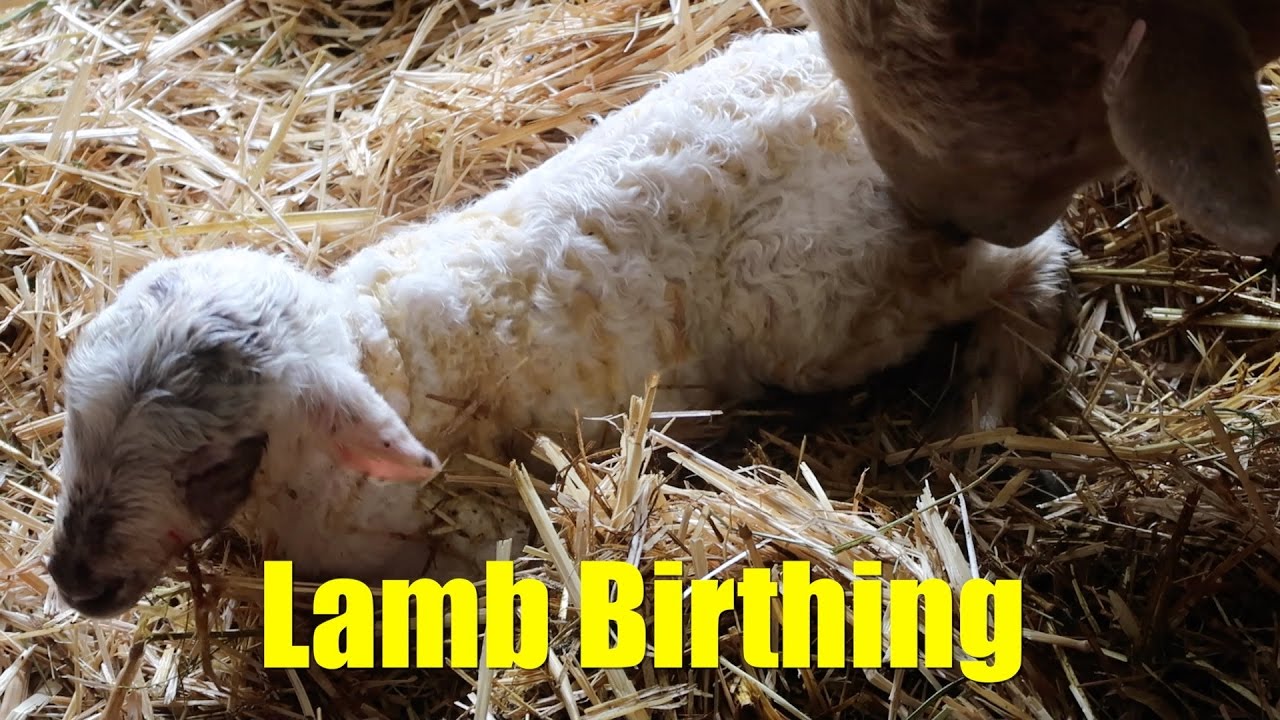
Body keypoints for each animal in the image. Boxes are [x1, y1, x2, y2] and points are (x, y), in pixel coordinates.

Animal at [46, 29, 1074, 619]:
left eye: (209, 461)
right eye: (74, 430)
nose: (71, 581)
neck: (376, 356)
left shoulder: (470, 530)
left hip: (821, 303)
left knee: (1028, 259)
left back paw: (982, 403)